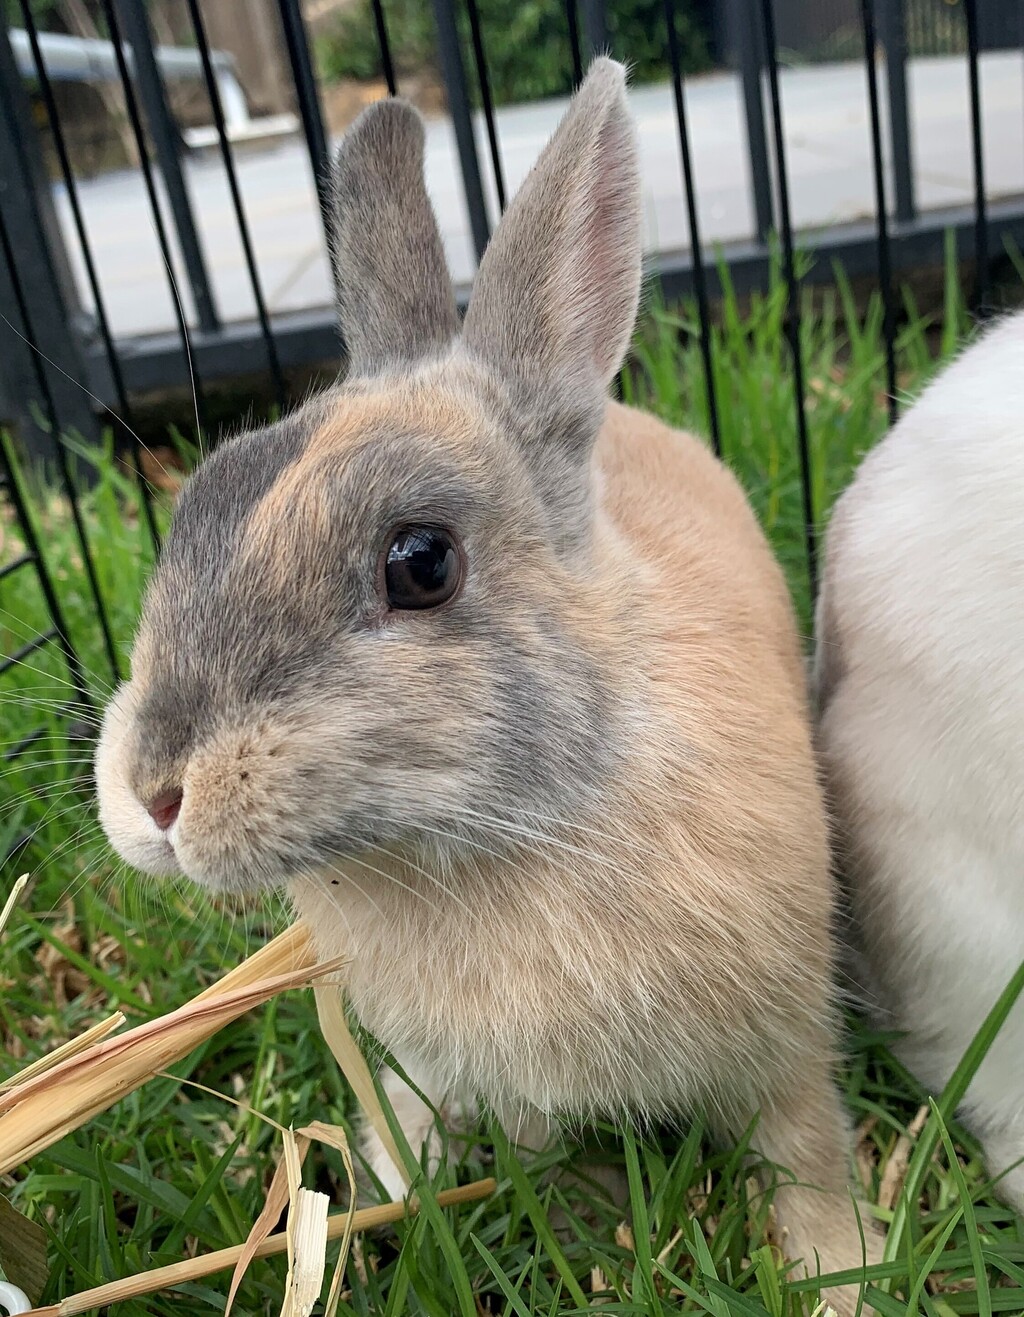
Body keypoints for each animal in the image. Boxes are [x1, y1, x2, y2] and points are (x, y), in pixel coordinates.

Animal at [95, 60, 878, 1312]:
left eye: (421, 562)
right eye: (192, 509)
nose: (155, 796)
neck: (507, 833)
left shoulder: (786, 1041)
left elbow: (800, 1142)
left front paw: (837, 1271)